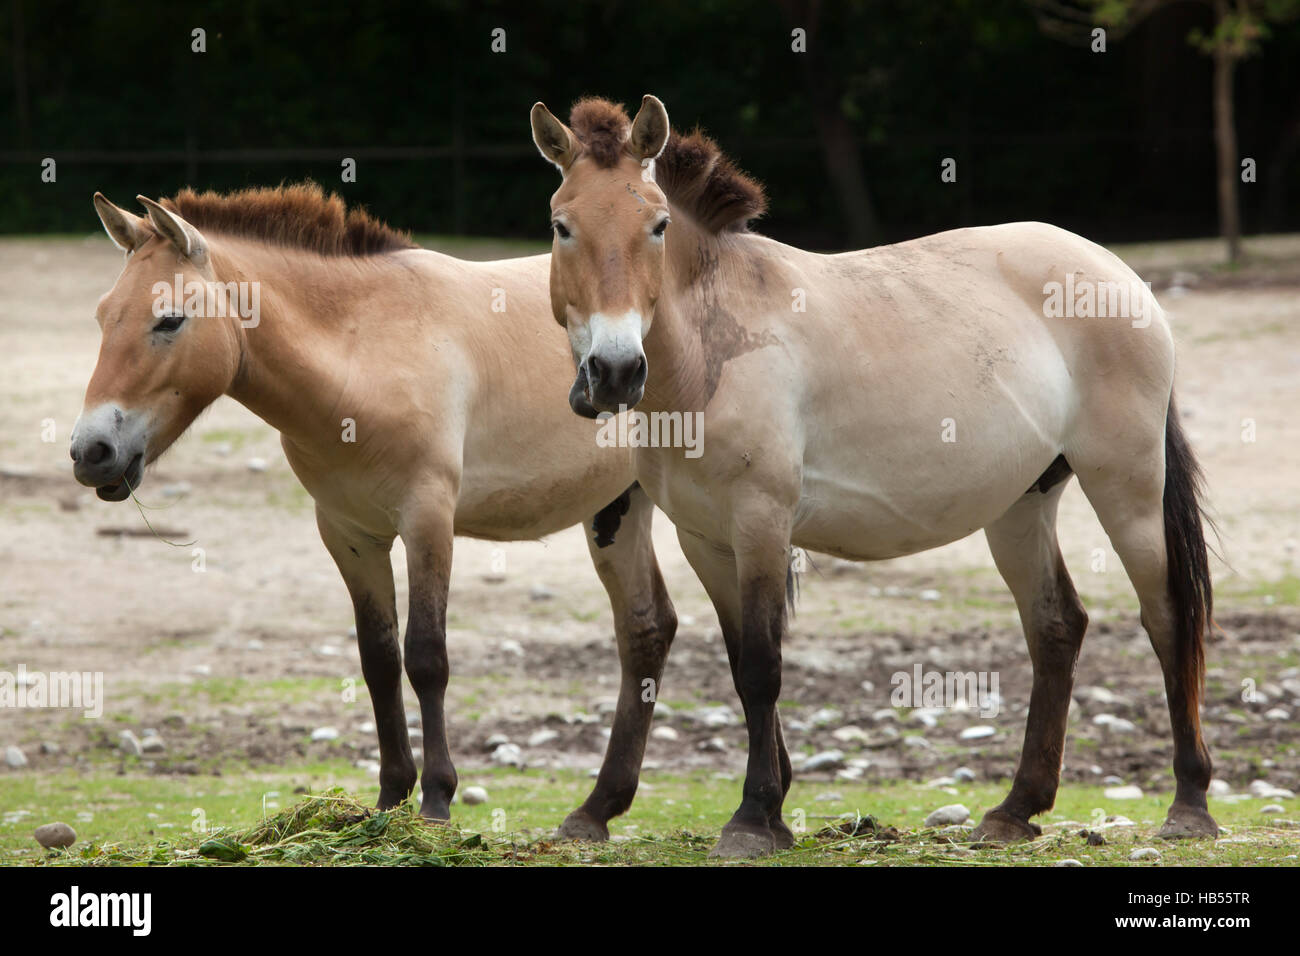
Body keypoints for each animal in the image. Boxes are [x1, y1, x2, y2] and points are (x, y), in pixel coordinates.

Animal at [72, 184, 678, 840]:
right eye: (103, 317)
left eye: (169, 320)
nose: (91, 452)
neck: (367, 351)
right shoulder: (350, 534)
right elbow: (379, 660)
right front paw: (389, 801)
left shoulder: (427, 522)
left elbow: (427, 657)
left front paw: (436, 800)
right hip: (619, 508)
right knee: (647, 629)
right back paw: (597, 810)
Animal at [530, 95, 1217, 858]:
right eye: (561, 226)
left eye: (656, 225)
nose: (616, 372)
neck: (712, 348)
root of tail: (1116, 270)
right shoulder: (705, 539)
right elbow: (741, 667)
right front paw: (770, 807)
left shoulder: (761, 524)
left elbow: (763, 667)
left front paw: (753, 818)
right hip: (1021, 504)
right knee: (1056, 627)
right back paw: (1016, 809)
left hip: (1126, 483)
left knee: (1168, 615)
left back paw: (1189, 804)